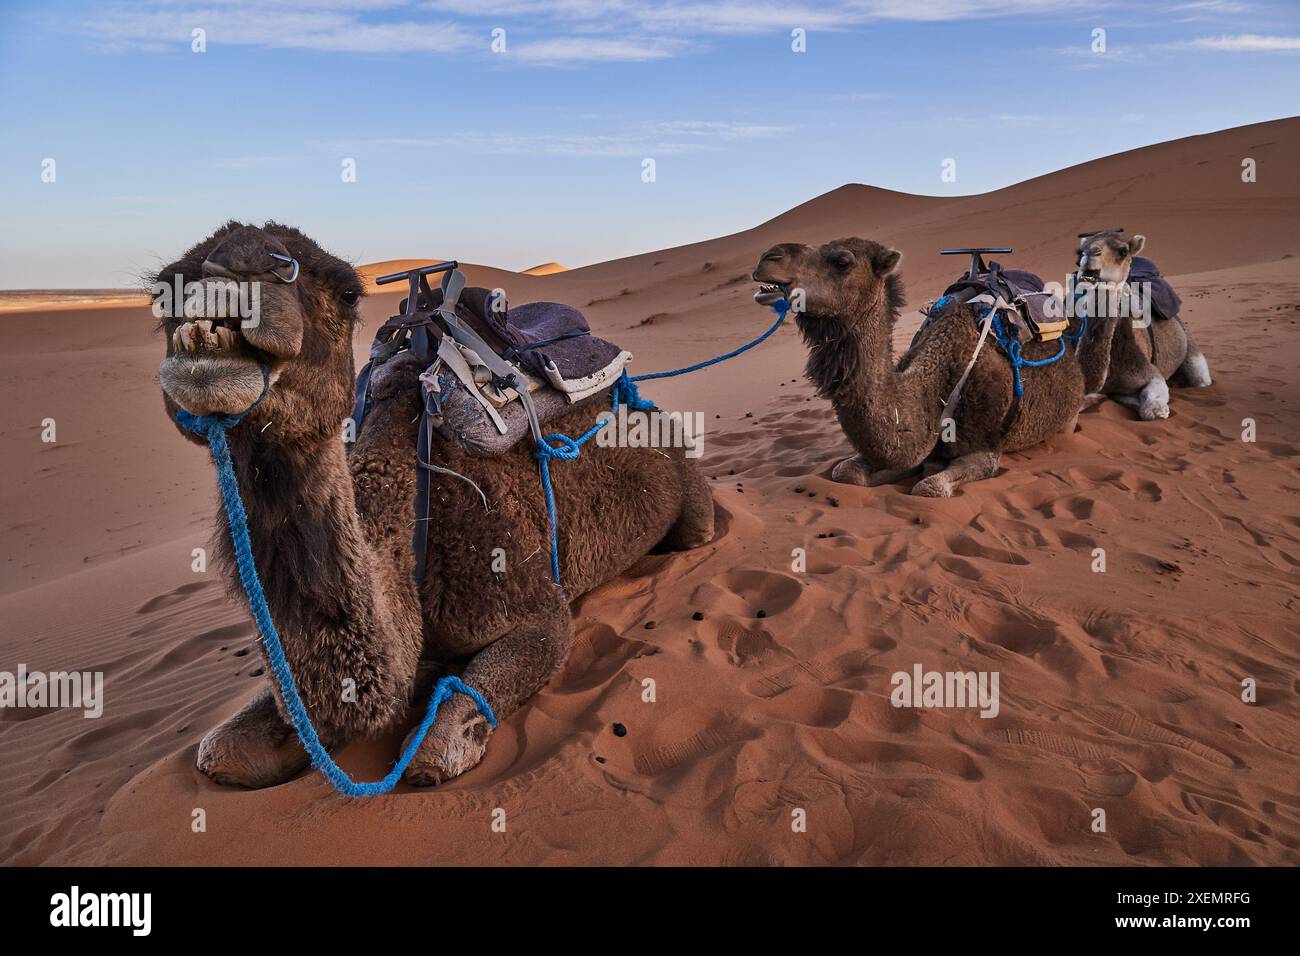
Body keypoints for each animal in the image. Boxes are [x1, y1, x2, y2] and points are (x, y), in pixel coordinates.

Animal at [154, 222, 714, 789]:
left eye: (348, 292)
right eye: (161, 288)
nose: (230, 272)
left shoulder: (534, 607)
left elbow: (434, 751)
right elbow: (219, 751)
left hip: (682, 471)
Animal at [752, 238, 1119, 497]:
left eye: (842, 261)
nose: (768, 257)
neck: (936, 389)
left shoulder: (986, 449)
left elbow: (929, 486)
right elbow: (847, 471)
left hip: (1066, 420)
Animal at [1073, 230, 1212, 420]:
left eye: (1123, 251)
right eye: (1079, 252)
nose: (1090, 254)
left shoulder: (1151, 373)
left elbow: (1153, 411)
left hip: (1190, 345)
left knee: (1200, 379)